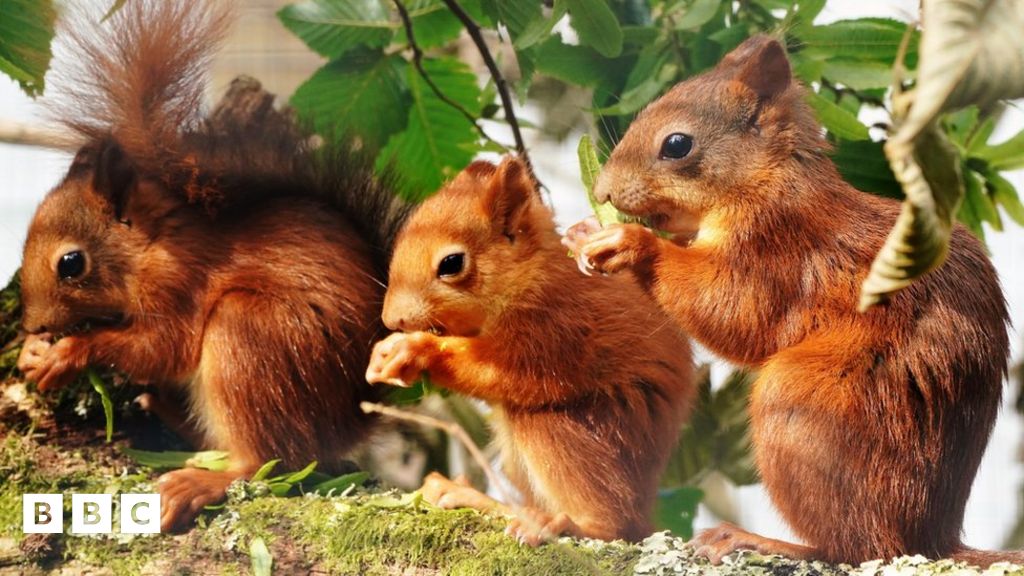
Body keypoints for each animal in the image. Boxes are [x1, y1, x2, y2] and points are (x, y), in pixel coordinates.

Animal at [14, 0, 406, 531]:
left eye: (71, 263)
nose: (33, 323)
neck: (152, 246)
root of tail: (348, 421)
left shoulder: (181, 283)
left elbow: (164, 349)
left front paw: (68, 353)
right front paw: (32, 351)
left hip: (250, 336)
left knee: (267, 460)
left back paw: (198, 483)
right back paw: (163, 410)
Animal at [365, 156, 695, 543]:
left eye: (451, 263)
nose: (392, 318)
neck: (529, 272)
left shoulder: (557, 327)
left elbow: (510, 371)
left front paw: (419, 349)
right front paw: (384, 353)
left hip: (576, 430)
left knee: (614, 523)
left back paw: (568, 522)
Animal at [563, 35, 1014, 566]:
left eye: (676, 144)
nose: (602, 191)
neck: (767, 181)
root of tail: (934, 536)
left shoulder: (777, 251)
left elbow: (731, 310)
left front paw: (631, 243)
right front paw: (583, 231)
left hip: (804, 408)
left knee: (858, 547)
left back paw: (757, 539)